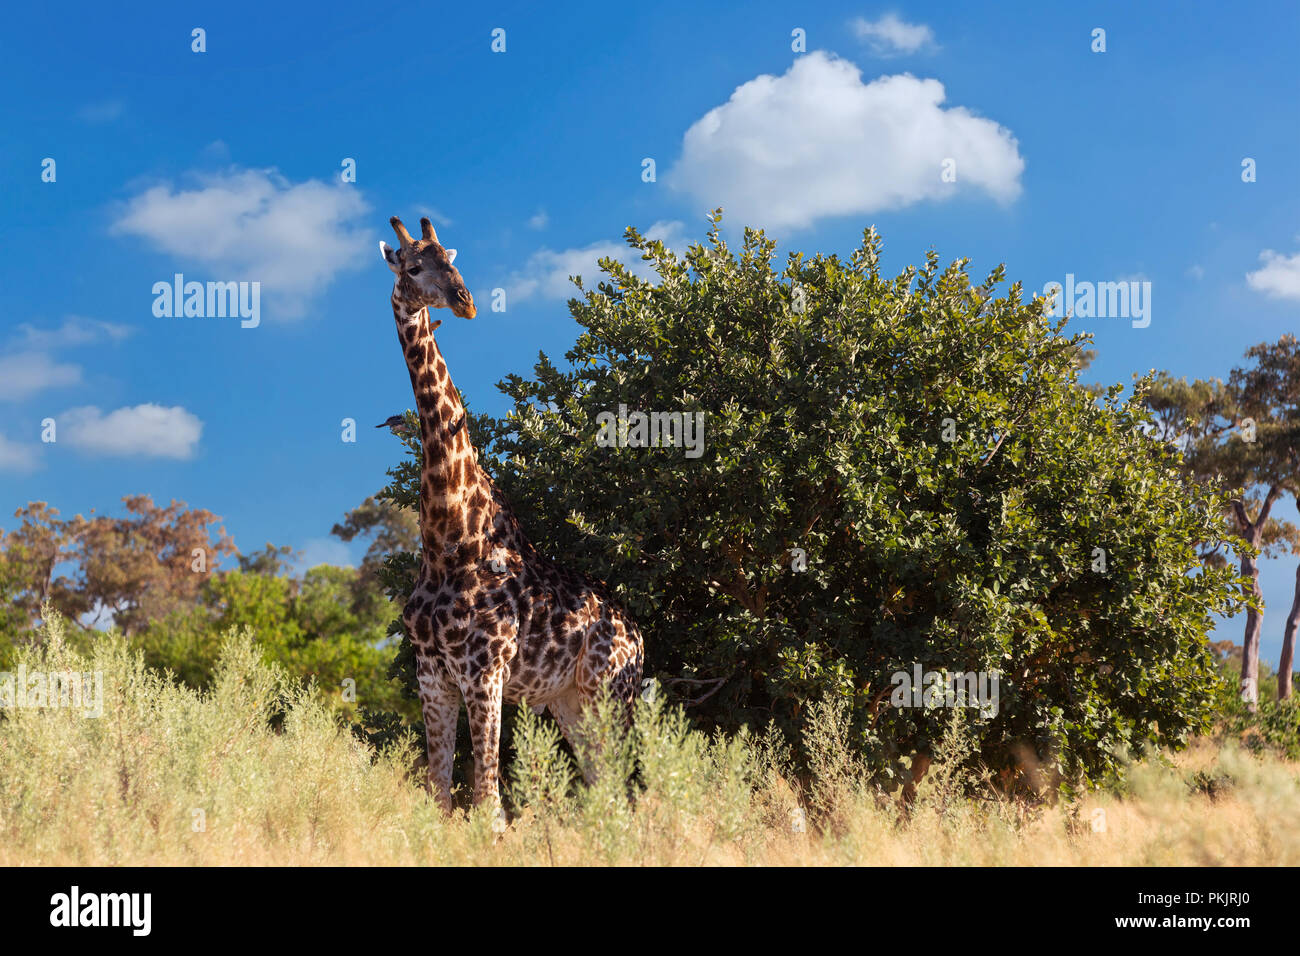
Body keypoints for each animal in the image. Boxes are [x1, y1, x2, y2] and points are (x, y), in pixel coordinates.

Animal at [380, 216, 644, 811]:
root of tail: (641, 639)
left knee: (630, 784)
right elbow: (440, 791)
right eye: (414, 266)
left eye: (452, 261)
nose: (466, 301)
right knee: (603, 785)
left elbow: (486, 796)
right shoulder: (433, 674)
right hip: (572, 701)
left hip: (611, 693)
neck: (449, 538)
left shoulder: (485, 670)